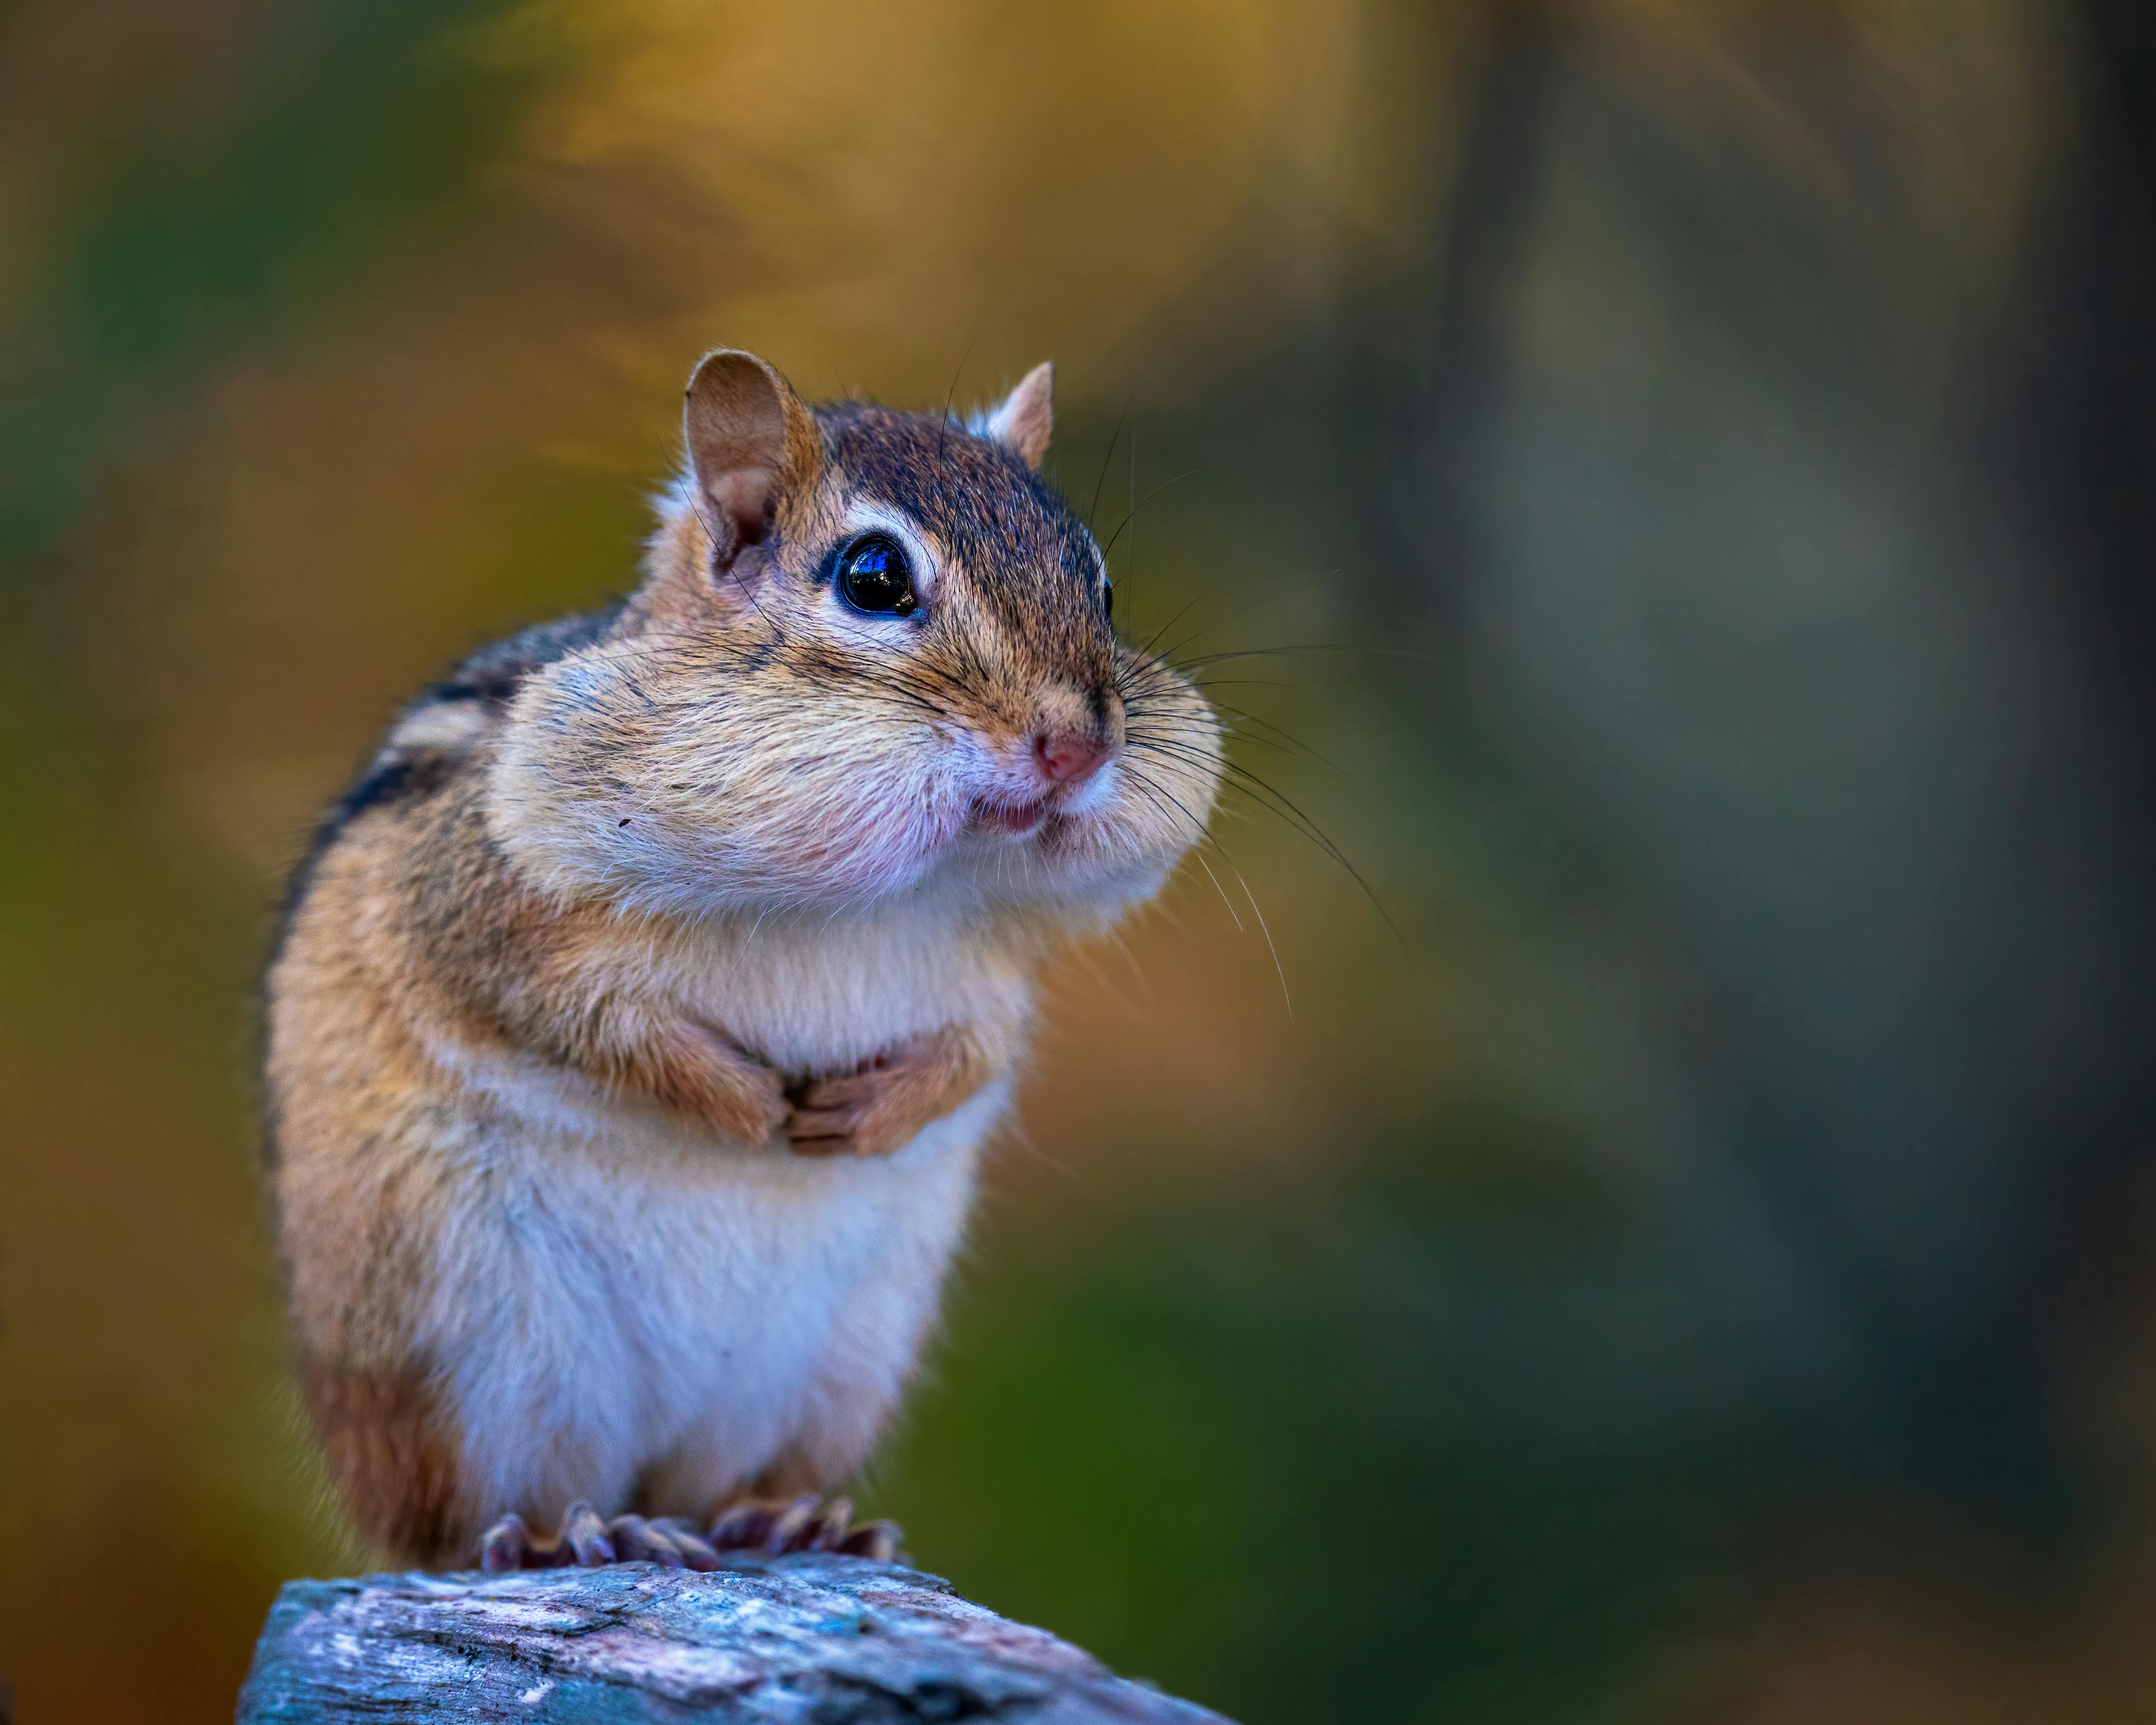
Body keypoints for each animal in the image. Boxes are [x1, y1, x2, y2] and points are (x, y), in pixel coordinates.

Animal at [263, 349, 1222, 1573]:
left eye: (1098, 586)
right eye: (873, 577)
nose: (1078, 747)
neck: (902, 888)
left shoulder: (992, 975)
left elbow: (981, 1048)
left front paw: (866, 1112)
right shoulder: (489, 911)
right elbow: (585, 1023)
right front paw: (749, 1105)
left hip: (846, 1356)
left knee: (720, 1483)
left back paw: (787, 1518)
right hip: (462, 1351)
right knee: (464, 1524)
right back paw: (567, 1534)